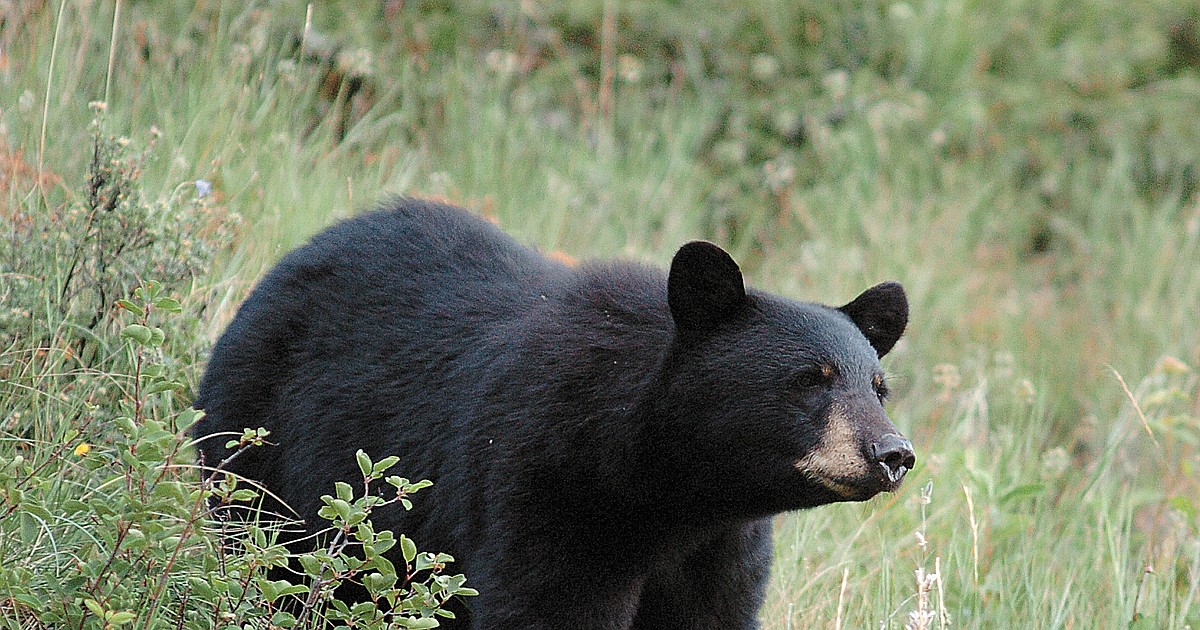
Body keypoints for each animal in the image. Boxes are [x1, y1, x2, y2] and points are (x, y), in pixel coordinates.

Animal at [193, 197, 914, 629]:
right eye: (810, 380)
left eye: (877, 387)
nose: (893, 454)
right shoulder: (546, 485)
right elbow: (544, 603)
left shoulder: (718, 551)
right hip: (263, 458)